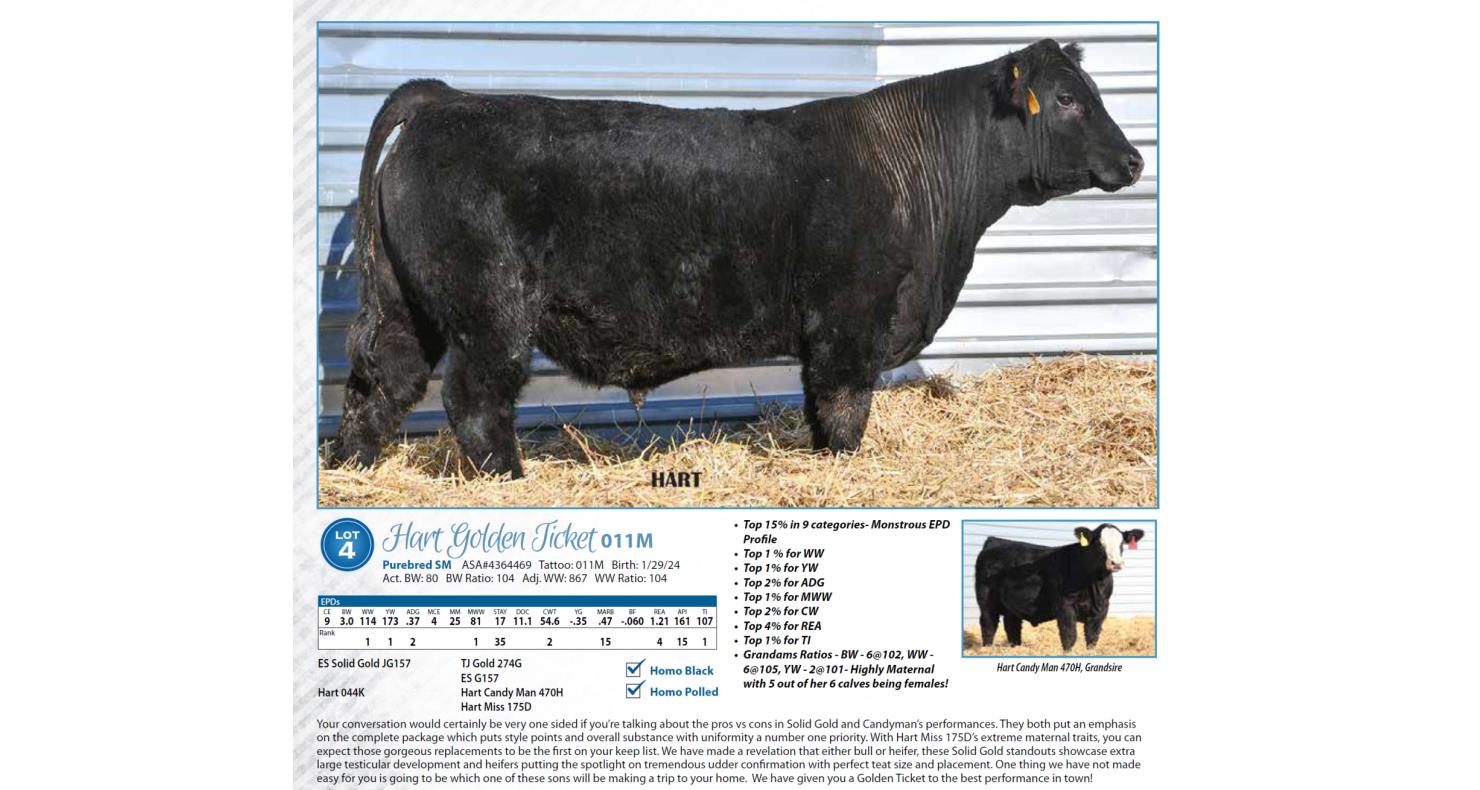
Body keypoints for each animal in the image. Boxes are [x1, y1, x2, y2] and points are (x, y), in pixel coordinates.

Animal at [330, 39, 1144, 478]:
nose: (1134, 159)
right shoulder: (848, 323)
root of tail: (447, 98)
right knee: (473, 402)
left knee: (381, 384)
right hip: (489, 311)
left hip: (409, 305)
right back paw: (510, 479)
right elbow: (844, 410)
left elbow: (821, 410)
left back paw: (349, 467)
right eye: (1067, 99)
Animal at [973, 523, 1146, 652]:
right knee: (988, 624)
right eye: (1098, 543)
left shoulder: (1102, 608)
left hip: (1012, 605)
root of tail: (994, 541)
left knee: (1012, 625)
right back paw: (987, 649)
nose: (1116, 563)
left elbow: (1092, 637)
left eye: (1122, 544)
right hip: (986, 600)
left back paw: (1015, 648)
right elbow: (1069, 635)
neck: (1094, 584)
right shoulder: (1064, 605)